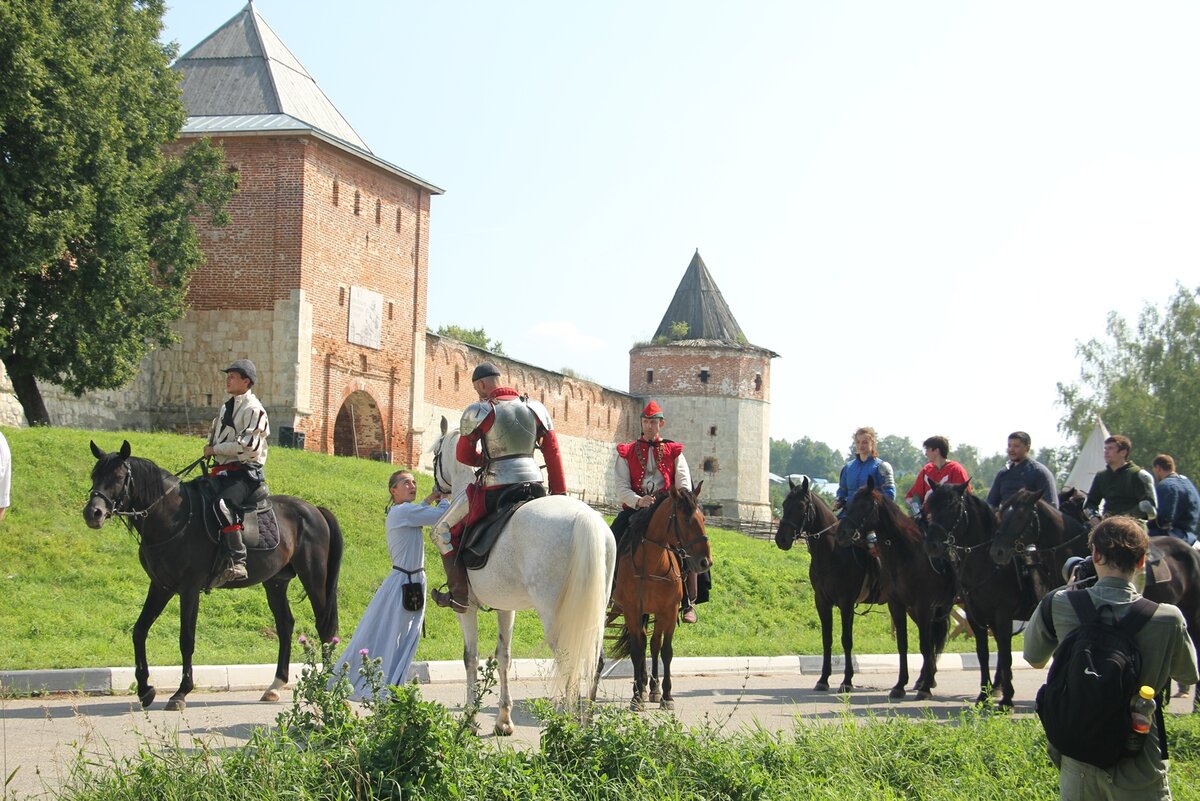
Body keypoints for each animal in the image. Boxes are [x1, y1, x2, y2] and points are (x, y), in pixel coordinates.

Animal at [83, 441, 343, 709]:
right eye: (95, 474)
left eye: (118, 477)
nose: (93, 513)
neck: (173, 517)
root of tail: (314, 510)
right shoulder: (160, 586)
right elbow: (139, 630)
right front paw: (145, 689)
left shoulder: (189, 588)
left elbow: (186, 639)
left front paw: (181, 693)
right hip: (275, 583)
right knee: (285, 625)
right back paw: (275, 686)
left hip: (314, 577)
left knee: (325, 626)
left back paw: (325, 685)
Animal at [432, 417, 619, 733]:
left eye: (435, 453)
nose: (436, 491)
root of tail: (586, 518)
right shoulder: (506, 608)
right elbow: (503, 656)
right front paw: (503, 720)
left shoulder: (466, 607)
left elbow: (471, 657)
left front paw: (470, 719)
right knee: (593, 659)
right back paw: (586, 725)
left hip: (555, 614)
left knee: (568, 659)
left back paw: (567, 728)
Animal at [609, 482, 710, 714]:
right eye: (685, 519)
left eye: (703, 518)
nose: (705, 562)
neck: (651, 564)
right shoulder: (632, 611)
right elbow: (637, 651)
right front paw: (637, 696)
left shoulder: (669, 612)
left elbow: (665, 650)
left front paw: (667, 696)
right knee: (643, 642)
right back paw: (643, 687)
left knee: (654, 644)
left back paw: (654, 689)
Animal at [835, 479, 955, 695]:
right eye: (850, 503)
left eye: (865, 505)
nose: (842, 533)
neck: (907, 554)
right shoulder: (898, 605)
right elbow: (903, 644)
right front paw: (900, 685)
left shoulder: (924, 605)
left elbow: (924, 645)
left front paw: (923, 688)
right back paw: (924, 679)